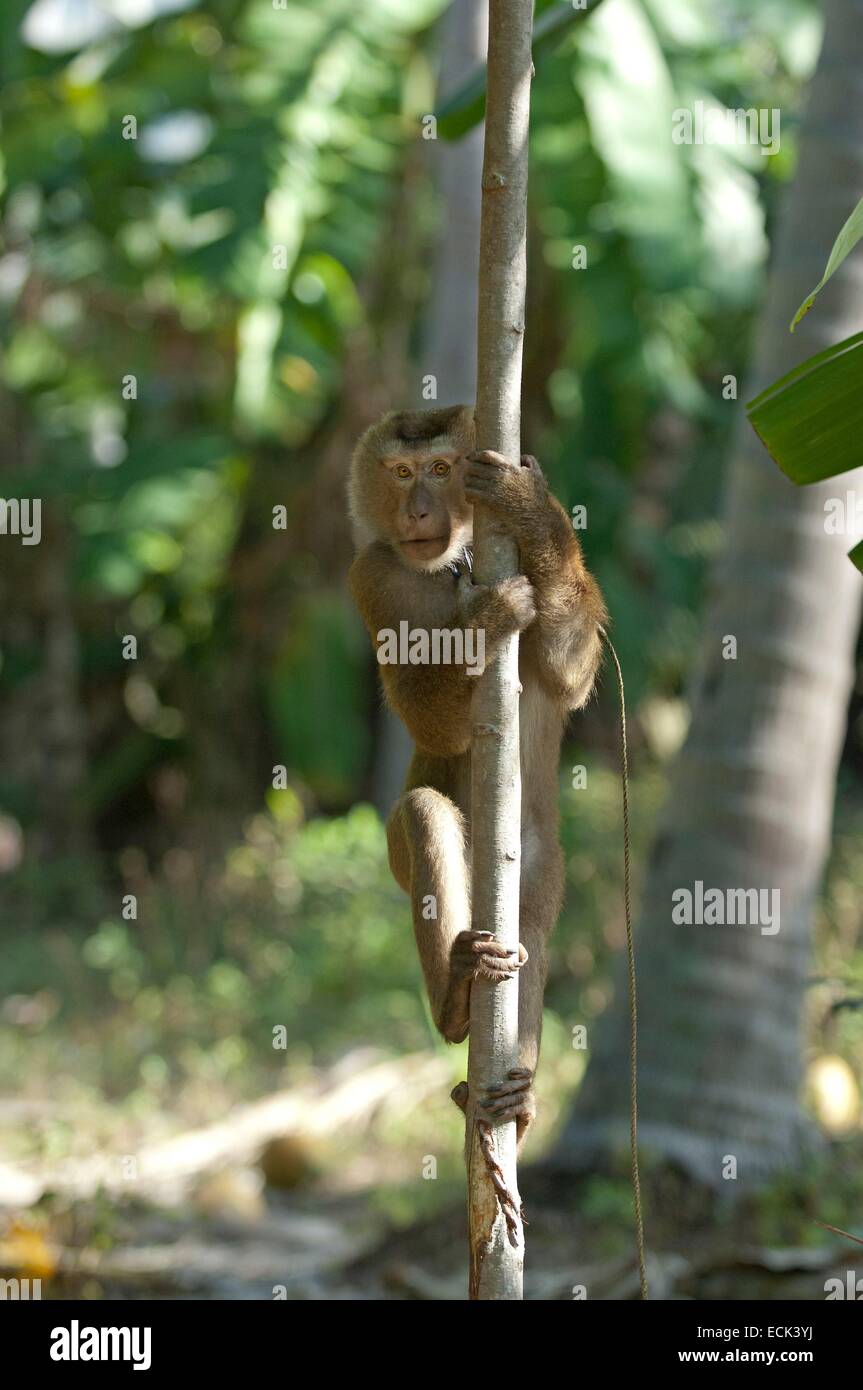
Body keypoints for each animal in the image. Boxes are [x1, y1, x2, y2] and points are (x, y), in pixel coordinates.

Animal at [347, 403, 607, 1148]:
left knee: (534, 936)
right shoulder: (370, 574)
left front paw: (533, 509)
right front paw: (487, 619)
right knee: (423, 815)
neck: (449, 562)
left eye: (439, 468)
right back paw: (457, 1001)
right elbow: (431, 728)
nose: (417, 508)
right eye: (401, 471)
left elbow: (568, 670)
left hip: (542, 867)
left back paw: (517, 1097)